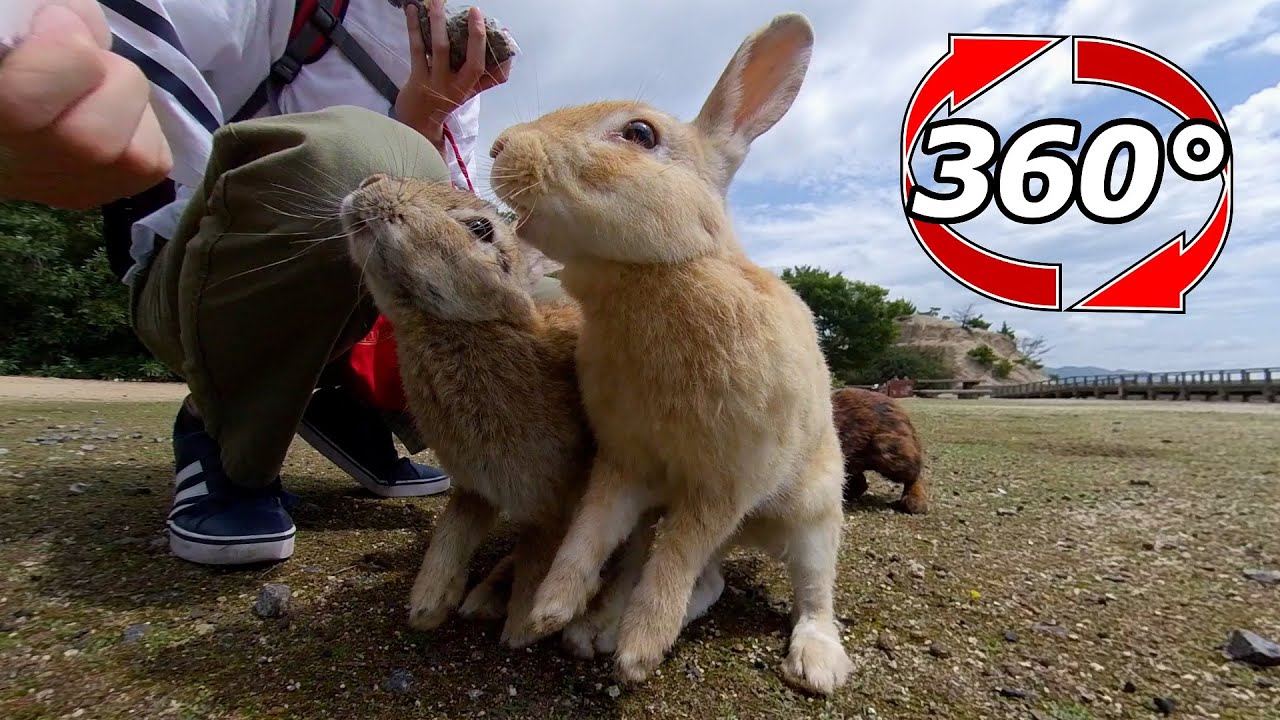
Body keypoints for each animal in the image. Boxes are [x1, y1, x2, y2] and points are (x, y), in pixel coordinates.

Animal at [337, 174, 724, 650]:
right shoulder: (476, 486)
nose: (371, 182)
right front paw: (427, 605)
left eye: (480, 229)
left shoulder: (555, 497)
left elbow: (539, 557)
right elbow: (451, 533)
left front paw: (520, 630)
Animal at [488, 12, 853, 696]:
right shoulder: (625, 463)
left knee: (808, 590)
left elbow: (676, 561)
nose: (499, 147)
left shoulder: (721, 484)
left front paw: (638, 653)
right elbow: (589, 533)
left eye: (639, 134)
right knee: (698, 575)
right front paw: (553, 609)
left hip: (814, 516)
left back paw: (815, 664)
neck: (654, 277)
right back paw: (595, 626)